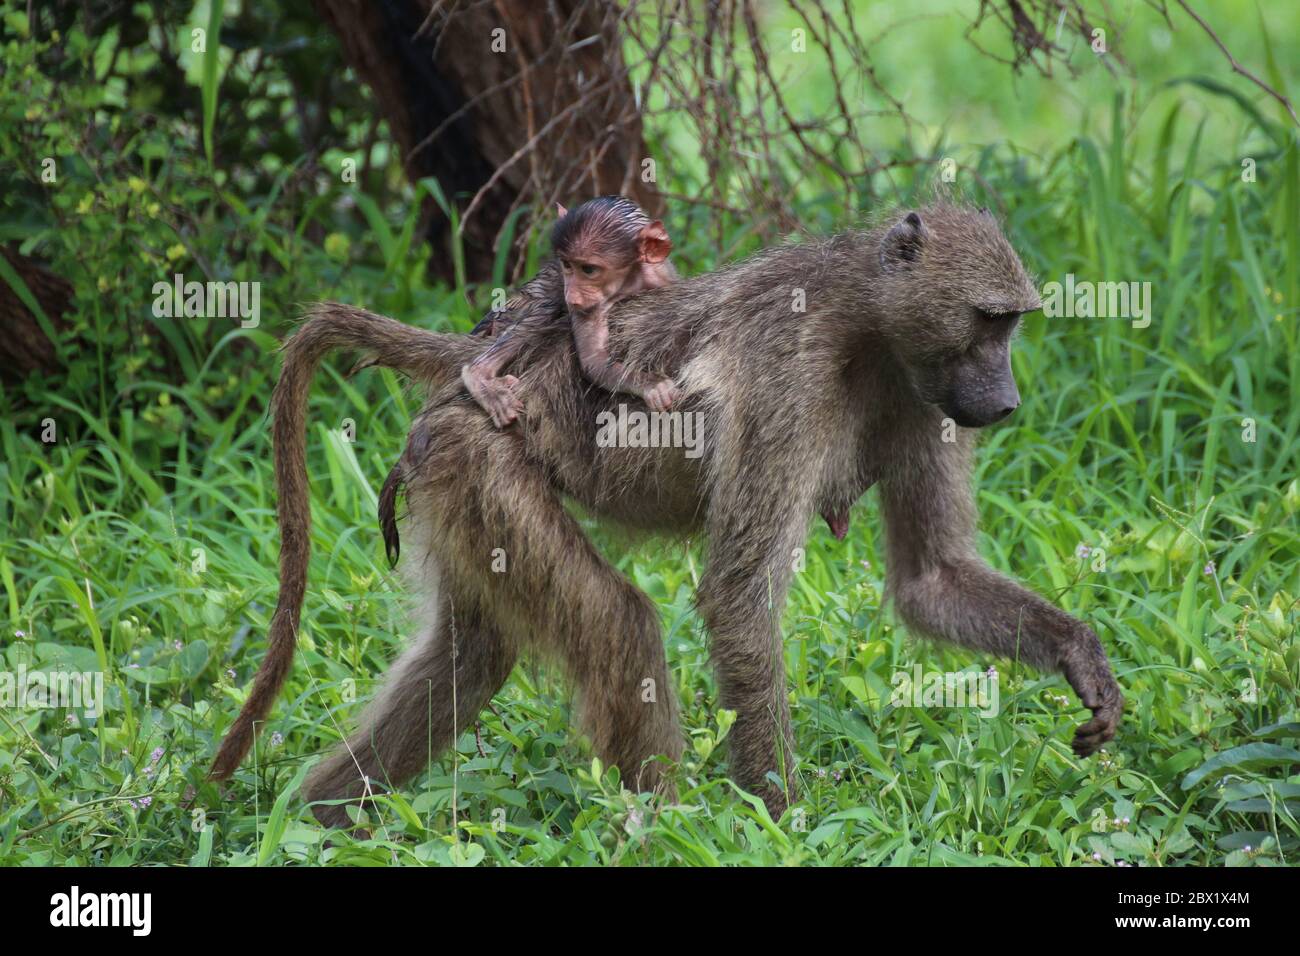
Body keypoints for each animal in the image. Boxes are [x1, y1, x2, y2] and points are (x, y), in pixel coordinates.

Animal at [460, 196, 680, 430]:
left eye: (589, 269)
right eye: (567, 264)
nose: (572, 295)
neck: (630, 282)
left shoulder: (661, 277)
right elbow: (594, 361)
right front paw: (651, 384)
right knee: (545, 306)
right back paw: (479, 374)